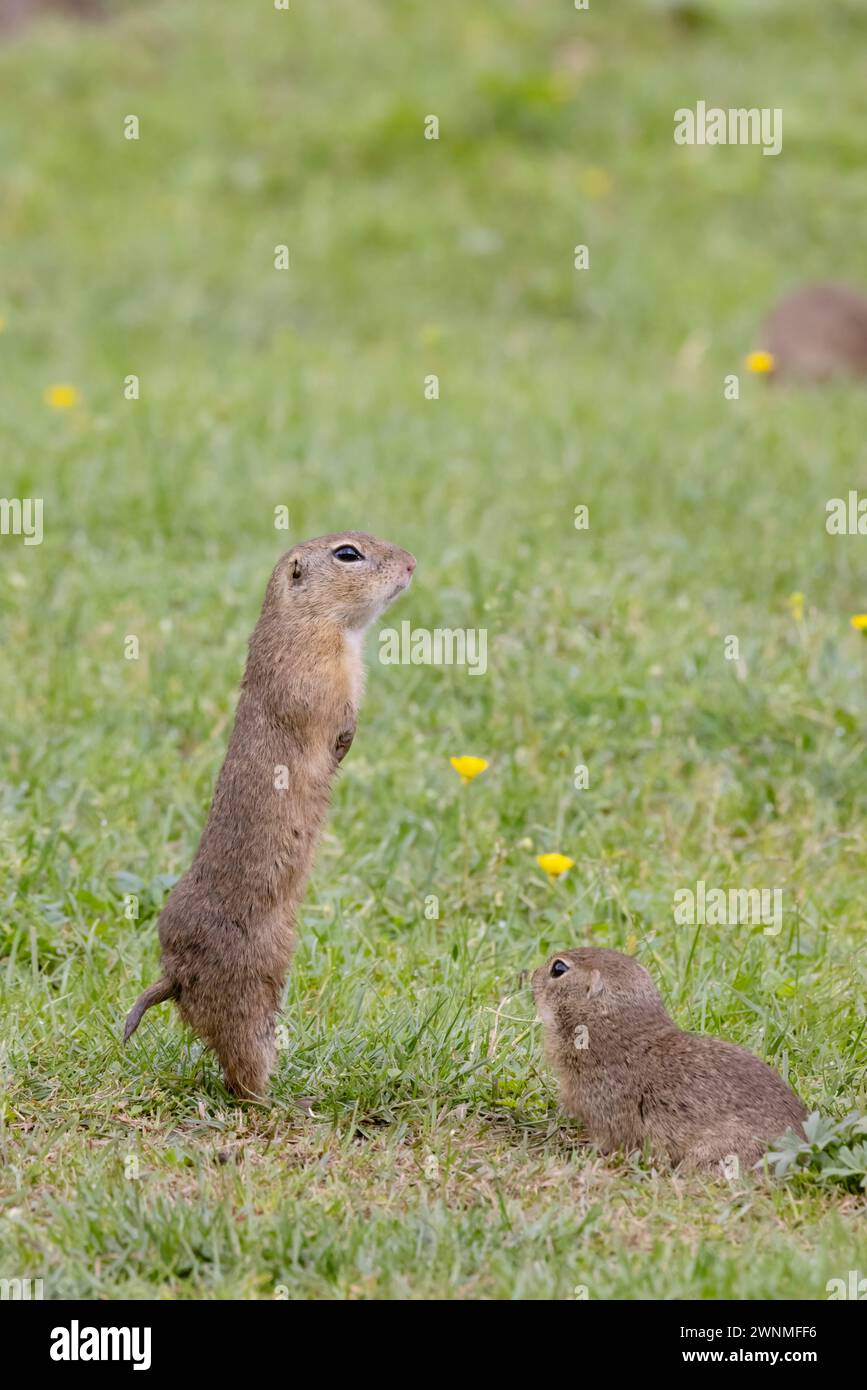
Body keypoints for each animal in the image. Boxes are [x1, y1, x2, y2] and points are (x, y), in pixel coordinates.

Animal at [124, 532, 416, 1098]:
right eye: (348, 553)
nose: (413, 563)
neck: (321, 626)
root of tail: (174, 973)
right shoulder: (317, 672)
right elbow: (333, 713)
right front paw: (345, 740)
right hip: (250, 990)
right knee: (242, 1066)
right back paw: (282, 1100)